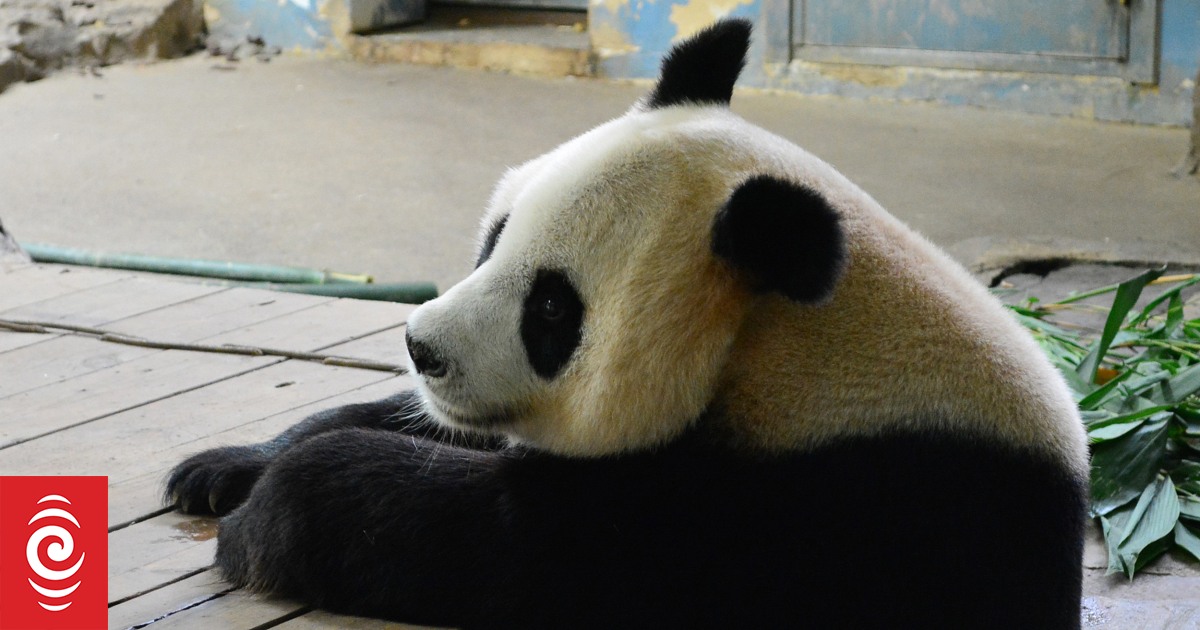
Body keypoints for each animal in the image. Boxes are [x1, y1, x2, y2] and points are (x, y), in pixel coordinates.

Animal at [168, 19, 1088, 629]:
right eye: (497, 235)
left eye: (551, 308)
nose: (420, 348)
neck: (787, 346)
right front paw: (223, 471)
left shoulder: (822, 508)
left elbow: (503, 539)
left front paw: (261, 524)